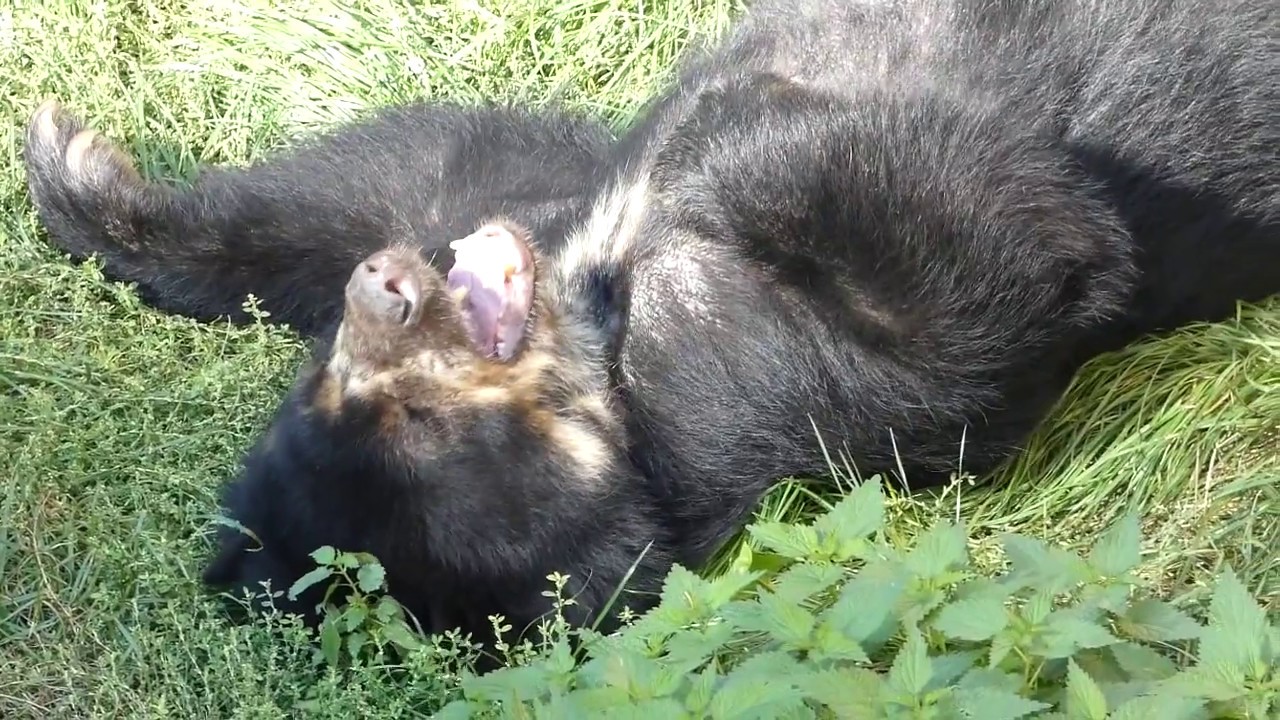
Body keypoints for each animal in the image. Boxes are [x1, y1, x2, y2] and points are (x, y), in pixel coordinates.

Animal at [23, 0, 1279, 665]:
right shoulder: (787, 374)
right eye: (417, 418)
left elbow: (393, 170)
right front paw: (730, 128)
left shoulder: (496, 193)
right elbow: (1007, 246)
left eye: (333, 384)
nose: (382, 293)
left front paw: (78, 177)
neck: (602, 341)